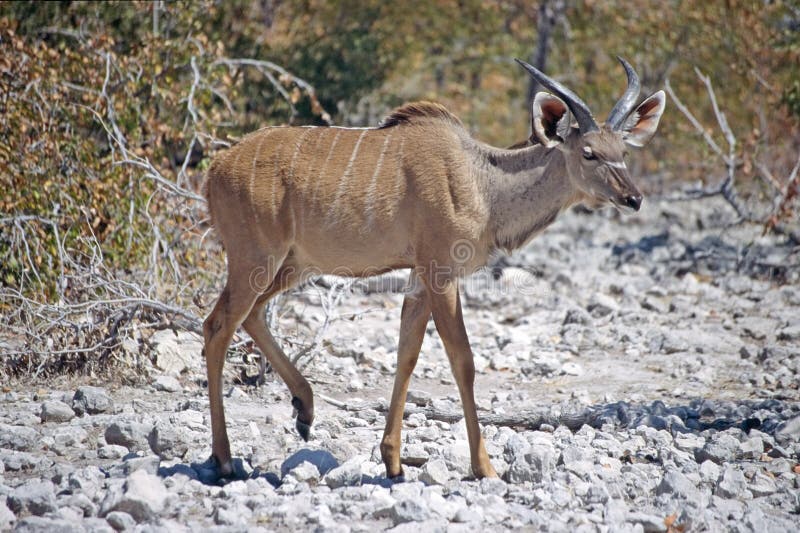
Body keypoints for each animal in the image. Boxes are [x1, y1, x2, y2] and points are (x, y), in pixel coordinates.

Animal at [203, 58, 664, 478]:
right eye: (589, 153)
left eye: (622, 152)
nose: (634, 199)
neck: (483, 183)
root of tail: (214, 171)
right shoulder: (442, 271)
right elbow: (463, 360)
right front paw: (485, 467)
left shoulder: (420, 276)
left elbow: (407, 352)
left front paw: (393, 461)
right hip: (256, 257)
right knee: (218, 325)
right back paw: (224, 459)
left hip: (291, 265)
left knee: (250, 316)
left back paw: (305, 410)